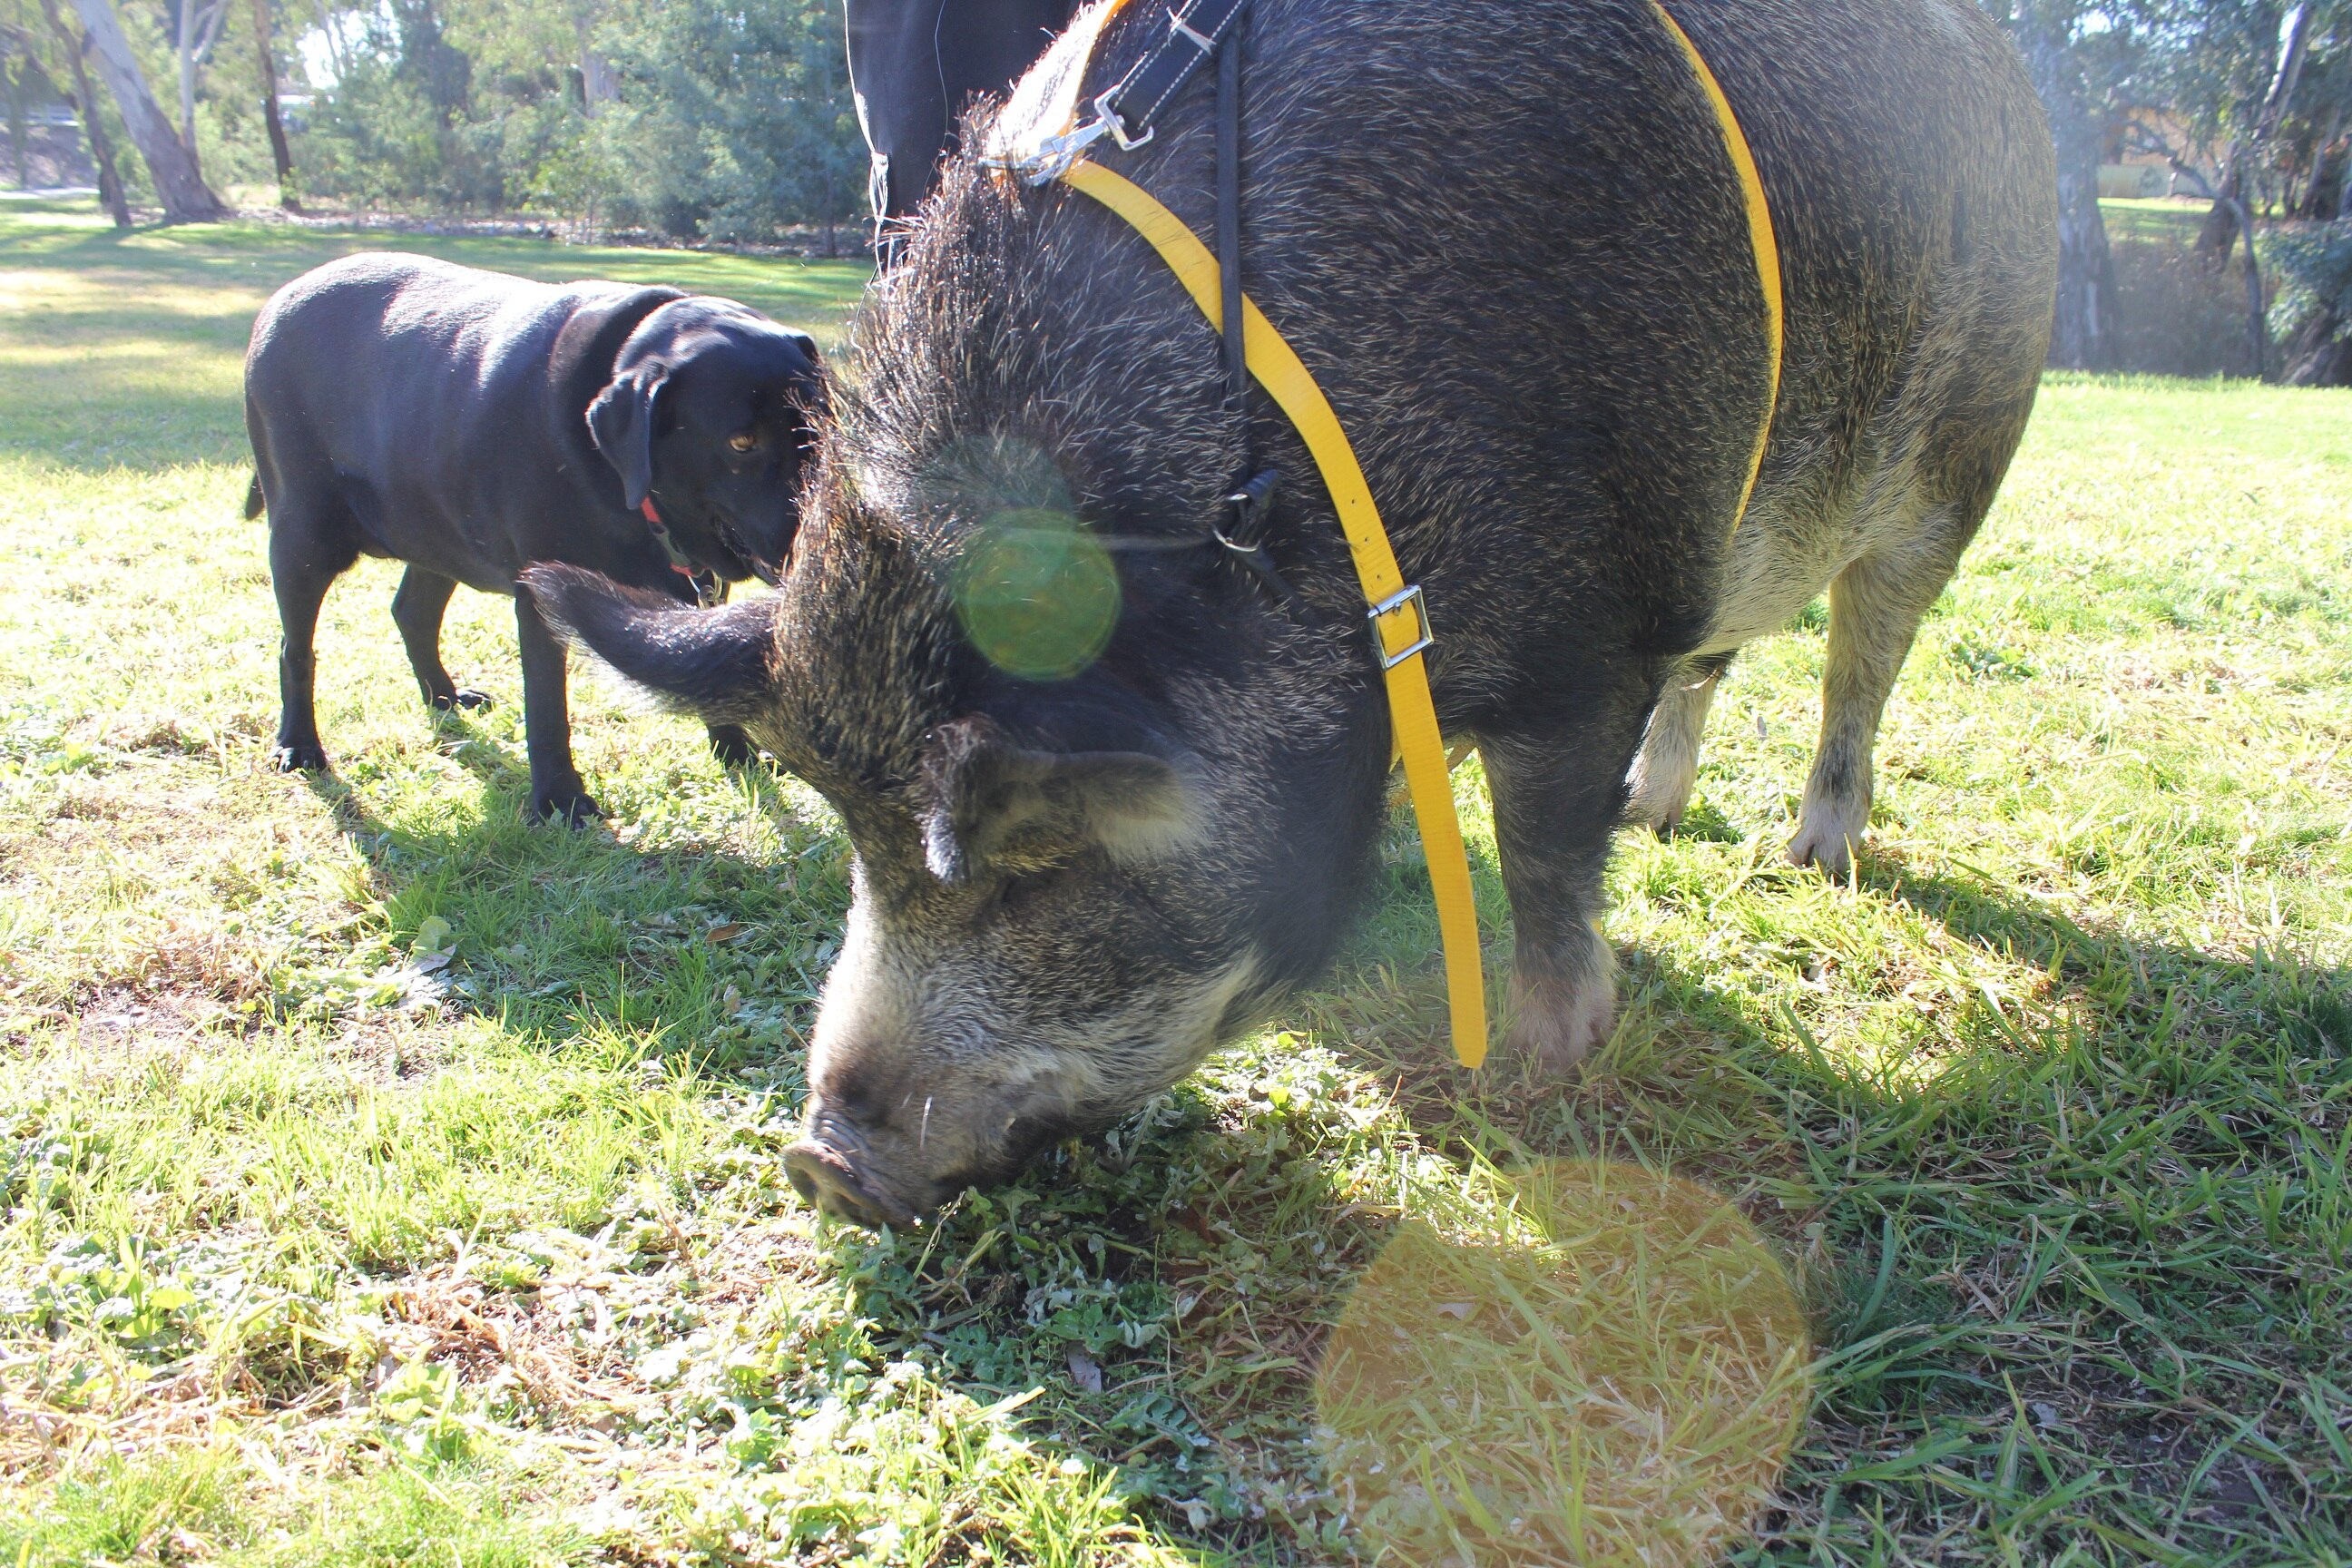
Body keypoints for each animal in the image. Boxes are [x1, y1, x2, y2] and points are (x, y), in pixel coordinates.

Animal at [526, 0, 2059, 1224]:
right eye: (848, 834)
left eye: (1039, 863)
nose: (821, 1165)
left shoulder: (1594, 634)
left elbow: (1544, 852)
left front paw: (1537, 1072)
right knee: (1723, 664)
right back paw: (1662, 814)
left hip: (1959, 457)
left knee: (1862, 657)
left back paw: (1812, 854)